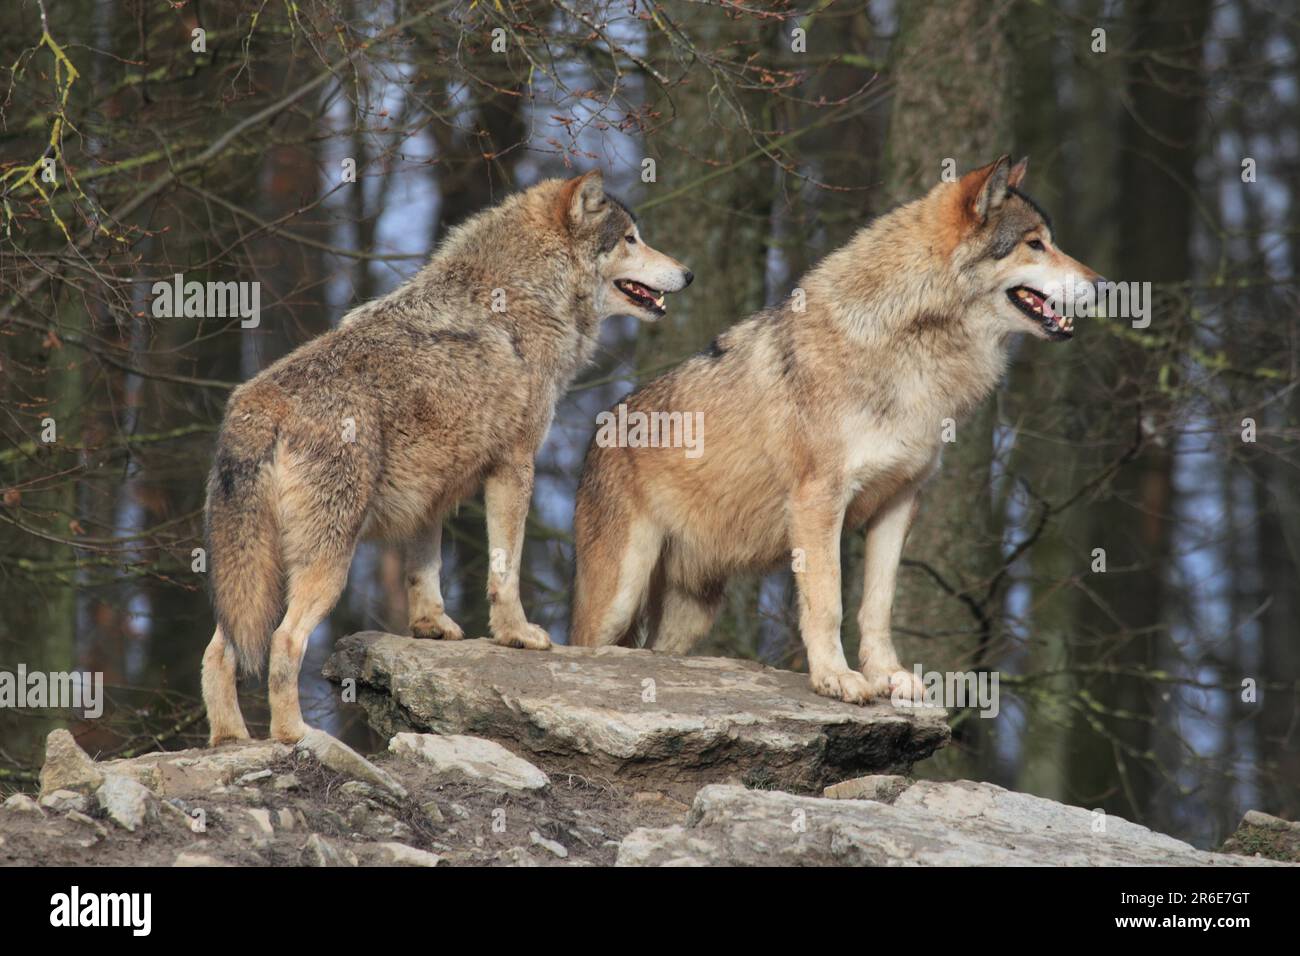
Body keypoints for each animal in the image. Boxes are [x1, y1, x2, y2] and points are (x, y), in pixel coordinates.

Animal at [201, 170, 692, 745]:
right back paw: (295, 735)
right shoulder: (515, 463)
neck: (527, 293)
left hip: (253, 573)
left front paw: (432, 628)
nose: (688, 273)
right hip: (326, 563)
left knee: (219, 650)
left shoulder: (428, 489)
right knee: (284, 642)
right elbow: (506, 568)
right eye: (631, 239)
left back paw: (229, 739)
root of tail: (259, 405)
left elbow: (424, 568)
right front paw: (517, 634)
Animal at [571, 156, 1099, 705]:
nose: (1102, 283)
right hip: (617, 600)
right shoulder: (819, 500)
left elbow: (878, 605)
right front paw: (836, 677)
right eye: (1035, 244)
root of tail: (600, 429)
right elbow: (828, 603)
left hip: (688, 617)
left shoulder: (900, 501)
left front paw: (888, 675)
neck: (911, 346)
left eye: (1051, 241)